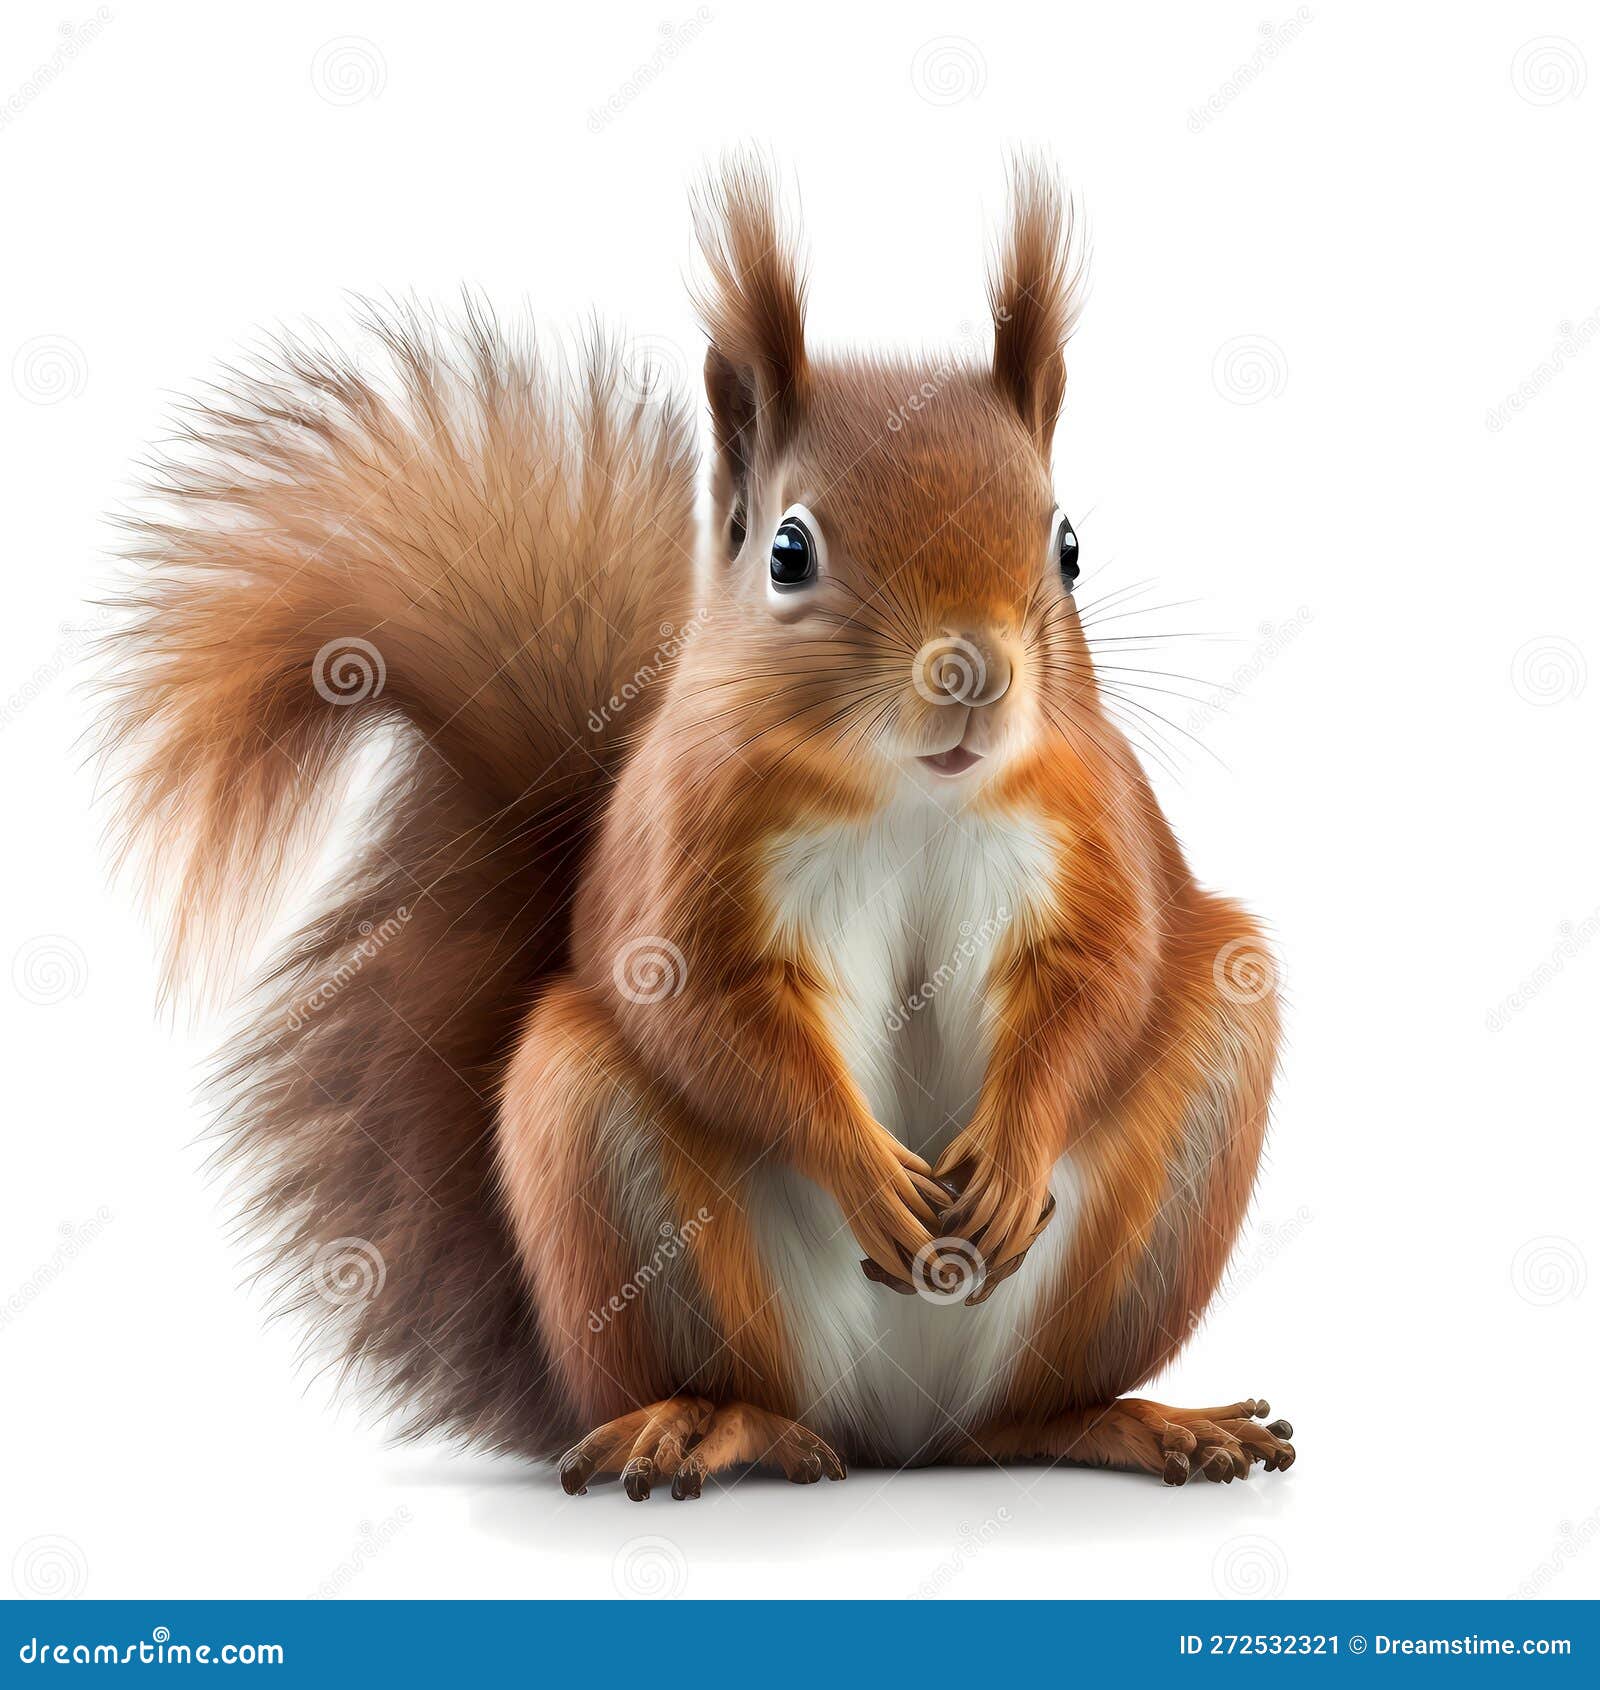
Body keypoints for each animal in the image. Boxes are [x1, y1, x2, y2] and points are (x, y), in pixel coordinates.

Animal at [96, 157, 1292, 1500]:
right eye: (787, 549)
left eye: (1068, 544)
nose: (971, 673)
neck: (911, 793)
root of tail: (898, 1441)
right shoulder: (681, 852)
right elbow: (709, 1015)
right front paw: (863, 1170)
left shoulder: (1096, 823)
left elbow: (1107, 976)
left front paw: (1016, 1145)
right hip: (598, 1151)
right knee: (733, 1375)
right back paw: (708, 1426)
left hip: (1176, 1141)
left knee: (1027, 1411)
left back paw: (1133, 1422)